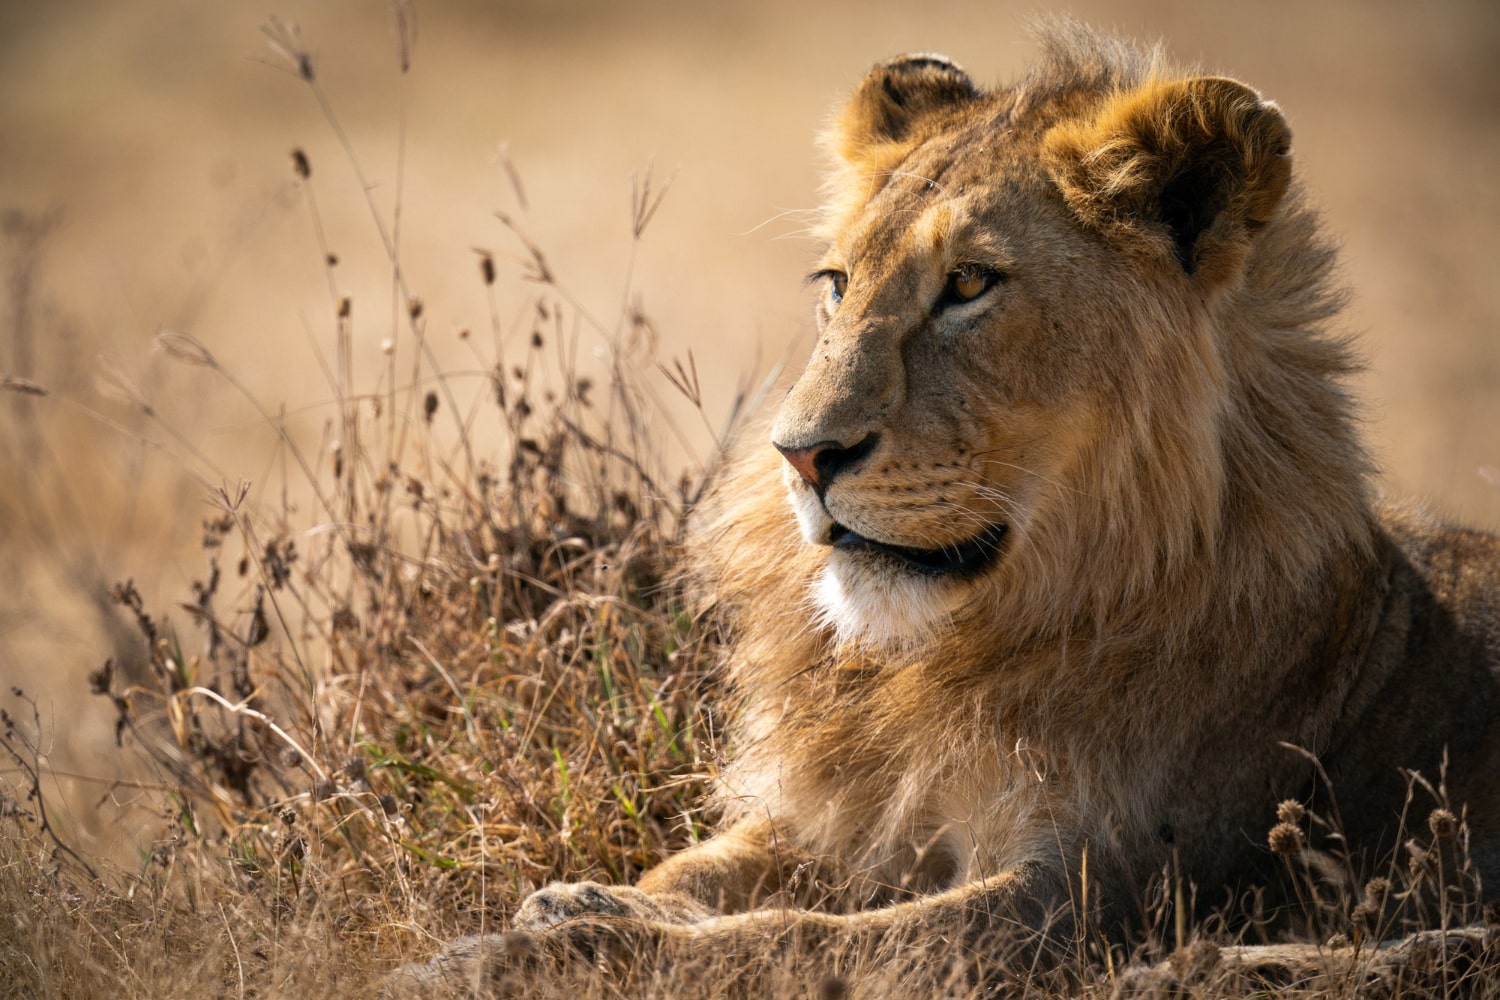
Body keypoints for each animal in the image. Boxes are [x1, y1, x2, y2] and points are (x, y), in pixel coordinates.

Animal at [384, 20, 1500, 996]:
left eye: (969, 283)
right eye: (838, 284)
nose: (801, 454)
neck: (955, 652)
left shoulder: (1075, 897)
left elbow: (793, 941)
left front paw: (508, 957)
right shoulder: (847, 818)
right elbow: (697, 873)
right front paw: (577, 900)